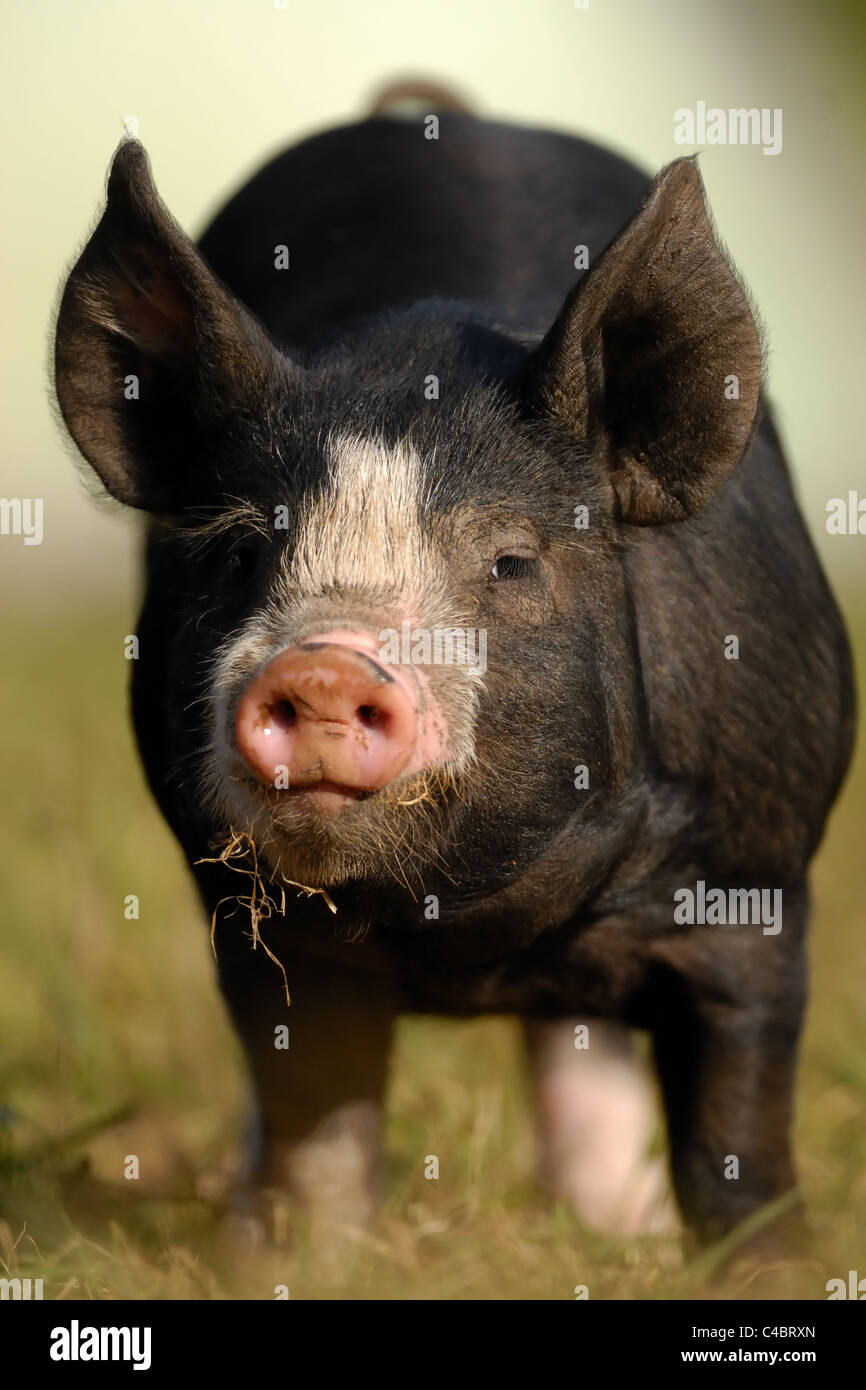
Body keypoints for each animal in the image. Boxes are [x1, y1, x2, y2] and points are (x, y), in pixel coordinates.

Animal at [54, 90, 855, 1252]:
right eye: (244, 550)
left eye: (512, 560)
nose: (326, 665)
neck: (470, 934)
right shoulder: (259, 927)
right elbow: (320, 1133)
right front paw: (299, 1258)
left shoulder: (756, 881)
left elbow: (735, 1142)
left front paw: (761, 1265)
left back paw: (623, 1231)